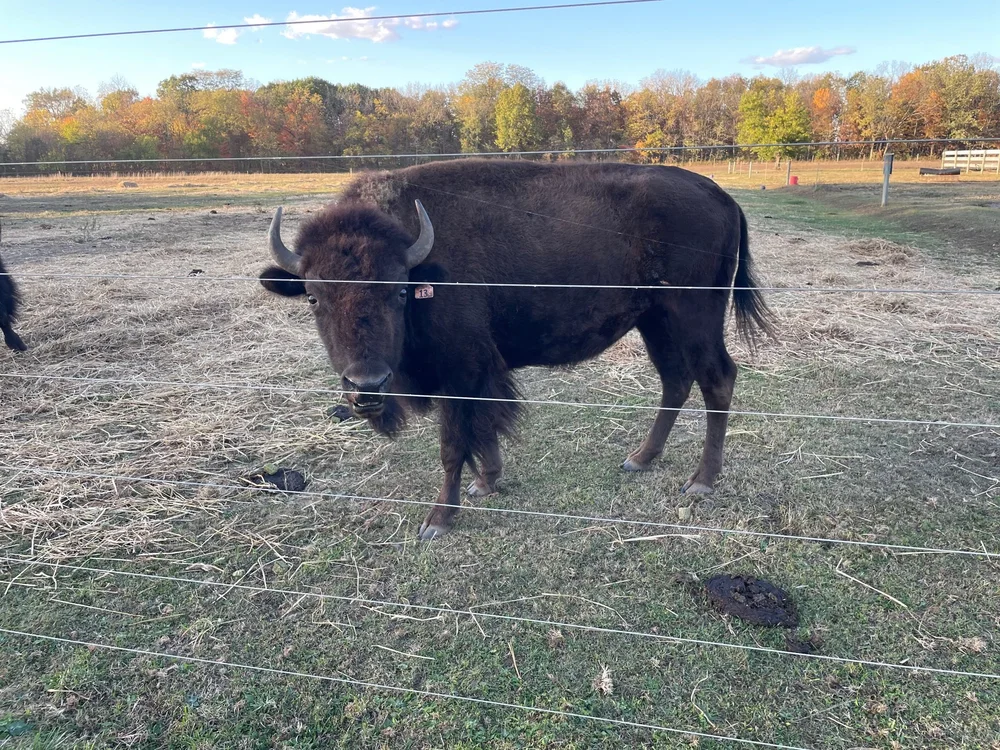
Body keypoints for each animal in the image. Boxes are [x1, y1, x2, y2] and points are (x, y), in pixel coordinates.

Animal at [260, 159, 773, 540]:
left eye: (400, 292)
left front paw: (438, 520)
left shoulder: (460, 372)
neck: (423, 264)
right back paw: (640, 459)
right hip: (655, 321)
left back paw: (701, 482)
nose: (366, 385)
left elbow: (453, 444)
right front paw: (487, 482)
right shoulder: (477, 375)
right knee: (675, 381)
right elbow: (484, 431)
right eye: (313, 296)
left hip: (694, 317)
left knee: (717, 379)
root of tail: (724, 198)